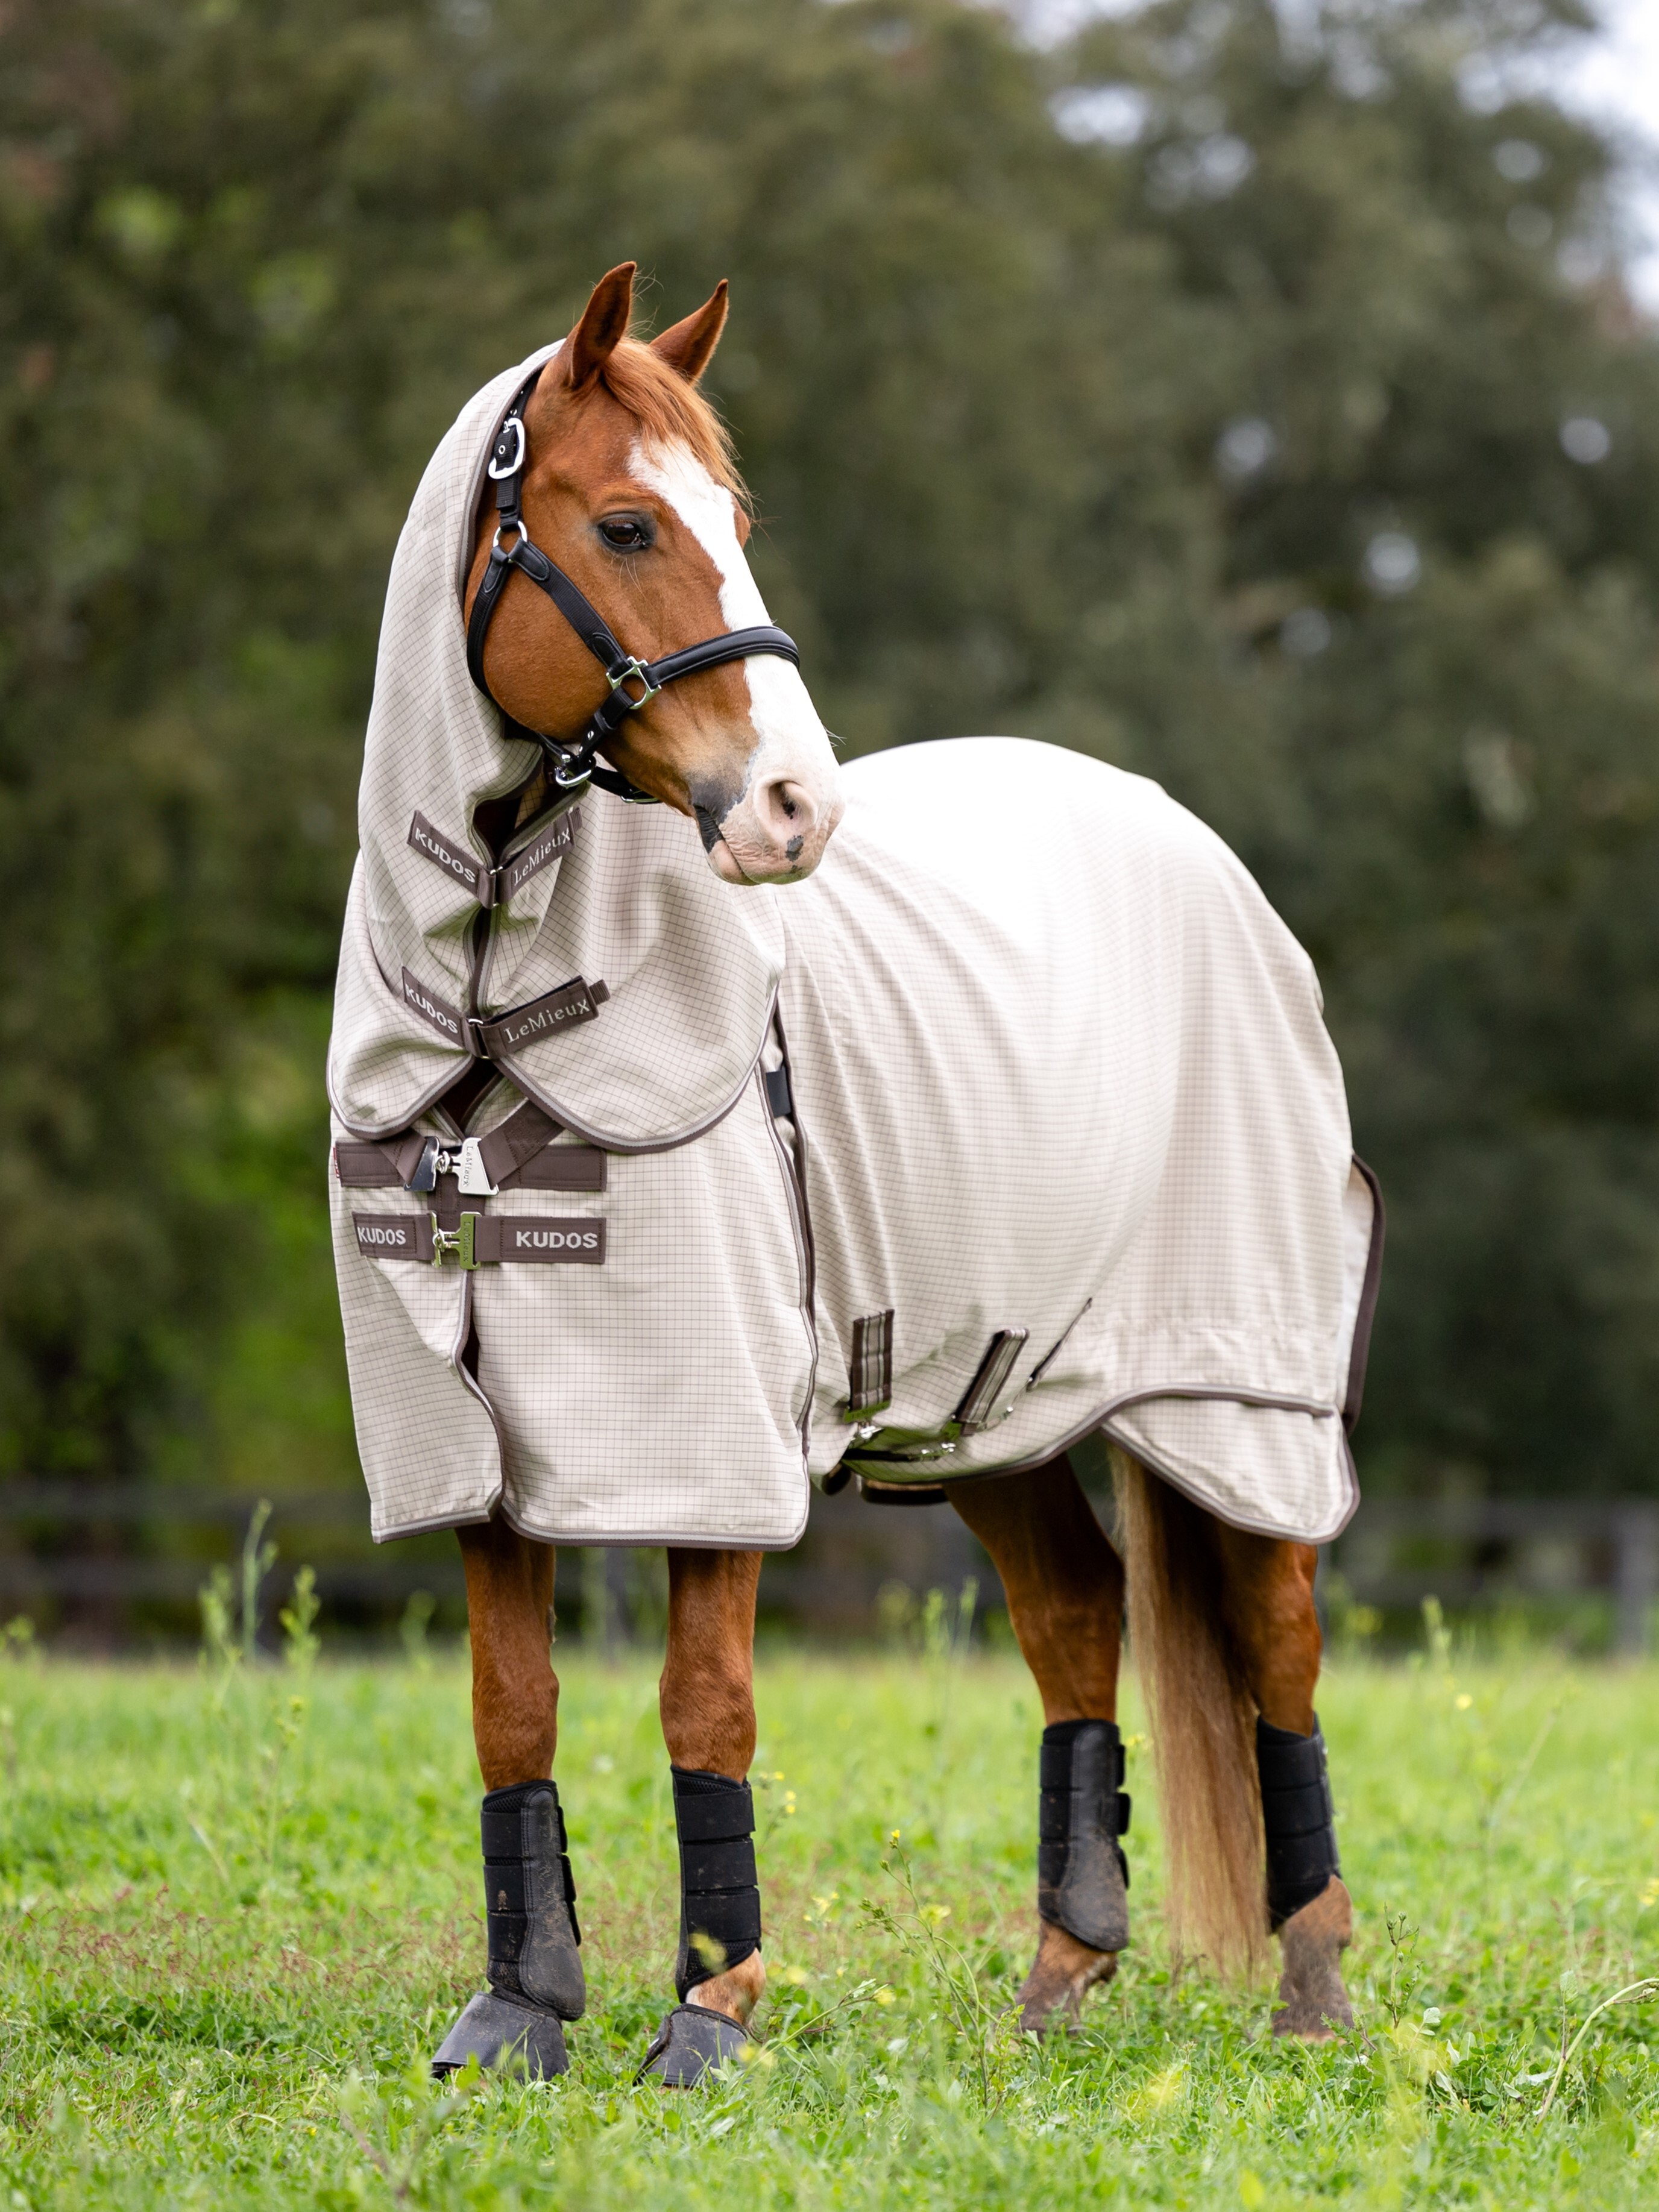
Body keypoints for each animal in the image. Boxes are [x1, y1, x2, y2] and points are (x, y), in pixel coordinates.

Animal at [327, 262, 1369, 2087]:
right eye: (623, 522)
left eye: (734, 519)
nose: (791, 806)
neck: (492, 1020)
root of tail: (1198, 846)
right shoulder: (473, 1445)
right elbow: (510, 1704)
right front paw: (520, 2013)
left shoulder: (712, 1431)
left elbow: (706, 1700)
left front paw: (709, 2013)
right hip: (991, 1399)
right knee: (1078, 1616)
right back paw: (1056, 1983)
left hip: (1241, 1394)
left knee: (1279, 1638)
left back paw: (1313, 1989)